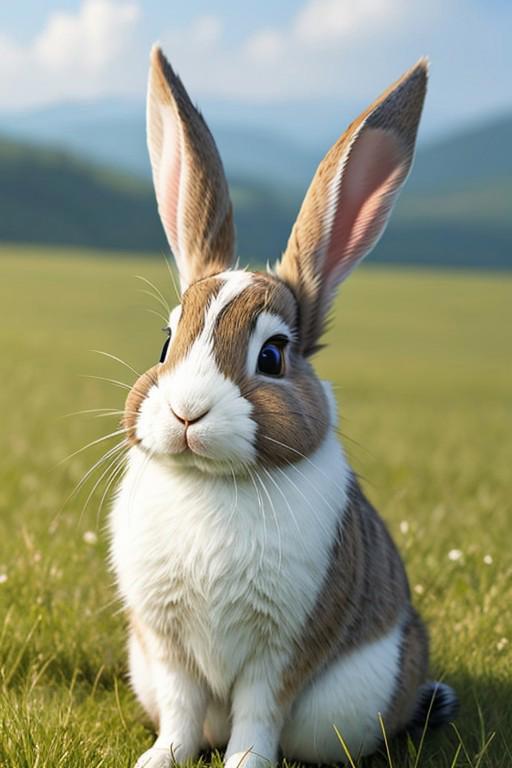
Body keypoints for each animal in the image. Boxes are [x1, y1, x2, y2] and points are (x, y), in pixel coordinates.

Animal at [109, 45, 457, 768]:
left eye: (272, 356)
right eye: (166, 341)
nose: (186, 413)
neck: (213, 484)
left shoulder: (283, 650)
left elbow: (258, 712)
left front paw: (245, 764)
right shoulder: (166, 643)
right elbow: (181, 710)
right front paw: (160, 759)